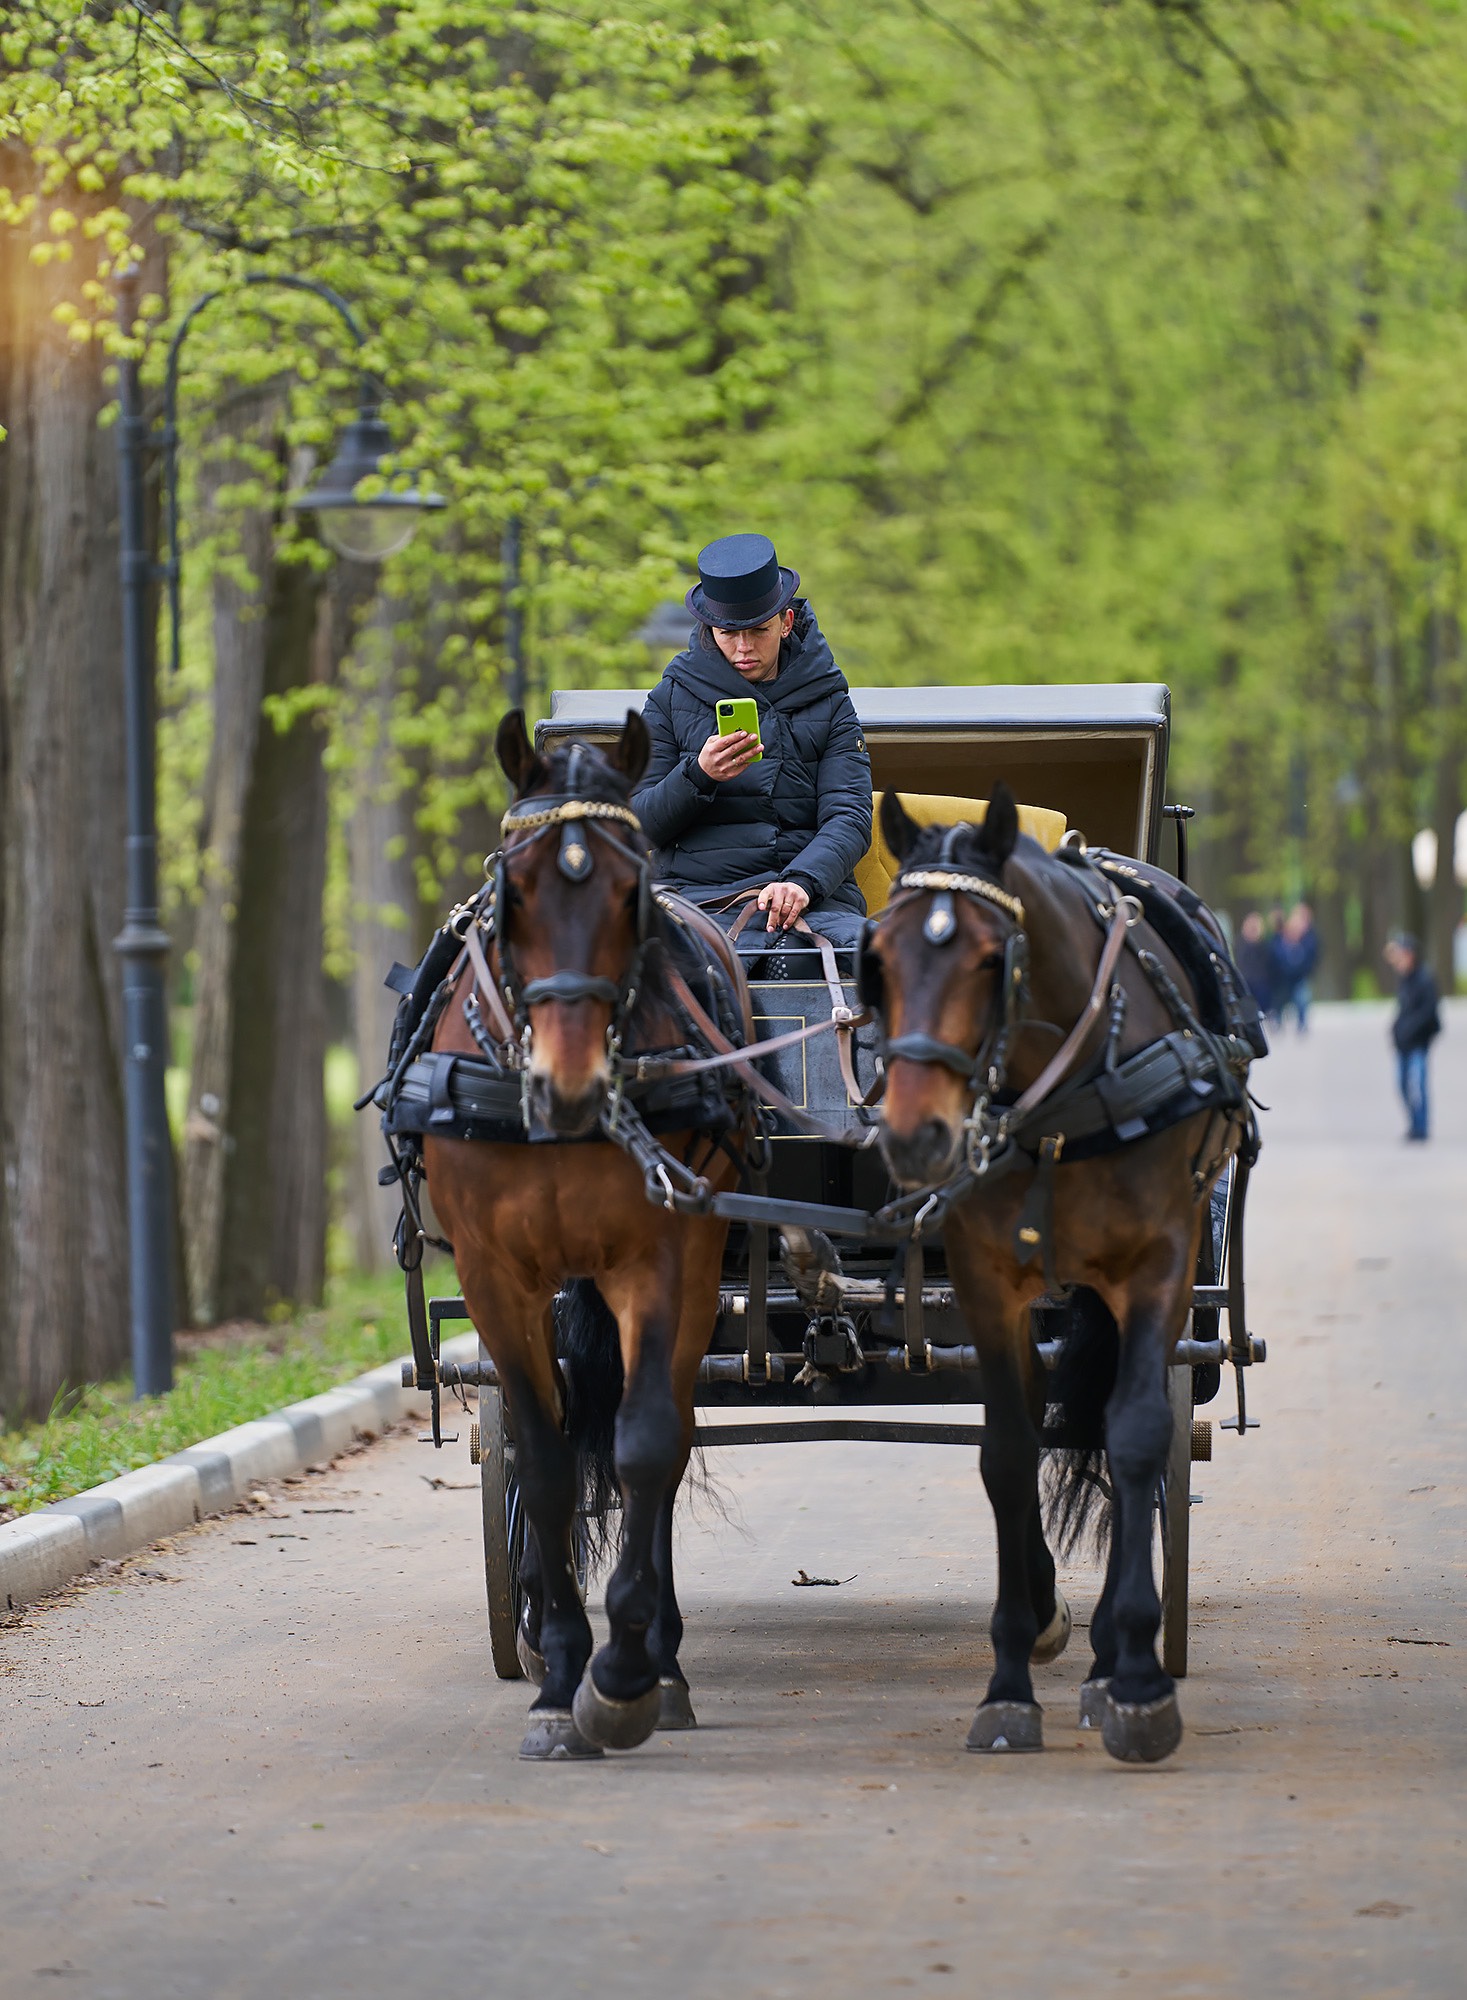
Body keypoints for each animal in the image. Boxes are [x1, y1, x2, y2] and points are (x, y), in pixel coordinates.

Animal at [425, 712, 747, 1760]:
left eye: (629, 888)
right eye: (511, 889)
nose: (568, 1084)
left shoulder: (658, 1259)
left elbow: (643, 1447)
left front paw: (625, 1677)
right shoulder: (499, 1278)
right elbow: (548, 1461)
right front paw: (559, 1677)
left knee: (668, 1437)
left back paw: (663, 1662)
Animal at [863, 784, 1263, 1768]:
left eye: (988, 957)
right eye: (875, 959)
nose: (915, 1136)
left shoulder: (1156, 1265)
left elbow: (1135, 1437)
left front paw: (1134, 1680)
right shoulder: (986, 1277)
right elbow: (1006, 1453)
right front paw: (1010, 1677)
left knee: (1129, 1443)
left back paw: (1118, 1658)